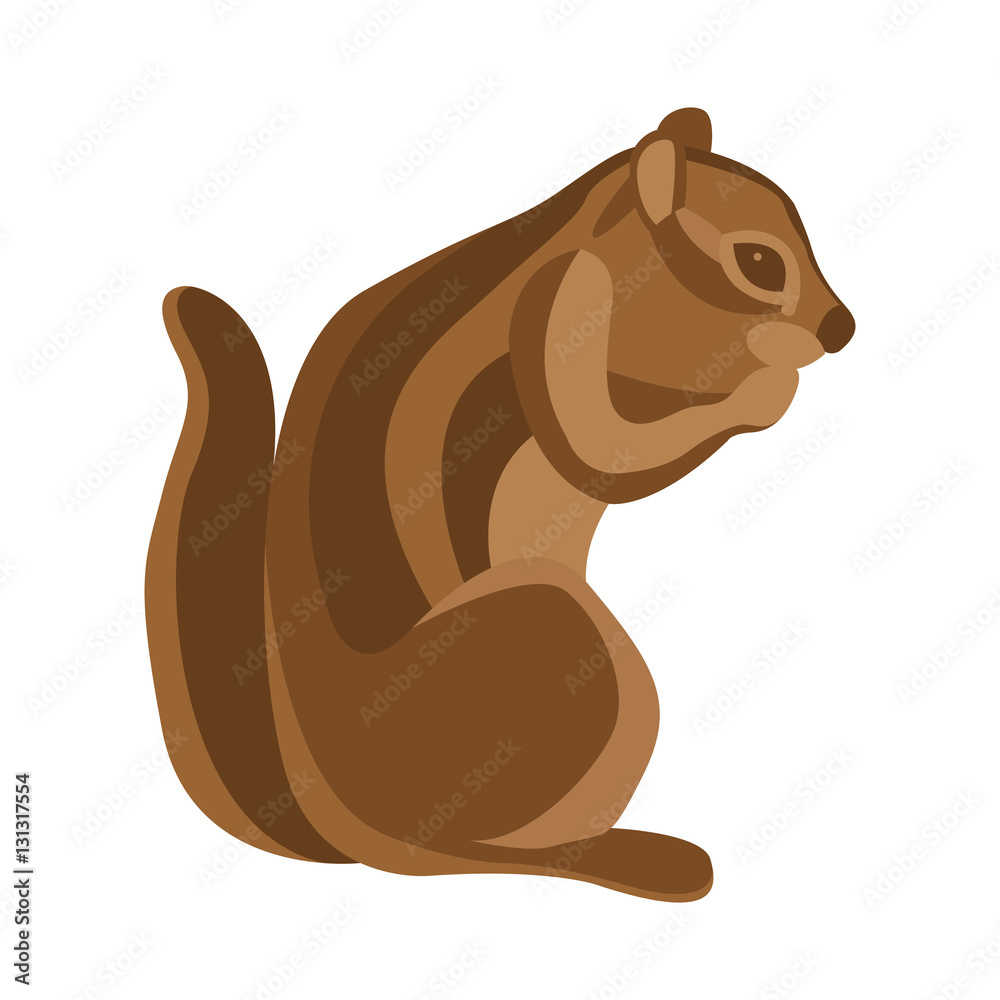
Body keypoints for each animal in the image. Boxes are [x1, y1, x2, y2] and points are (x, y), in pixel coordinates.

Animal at [146, 108, 853, 902]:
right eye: (759, 262)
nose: (841, 329)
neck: (611, 242)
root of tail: (339, 813)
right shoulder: (562, 304)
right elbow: (604, 451)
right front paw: (764, 389)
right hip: (555, 635)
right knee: (458, 848)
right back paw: (621, 856)